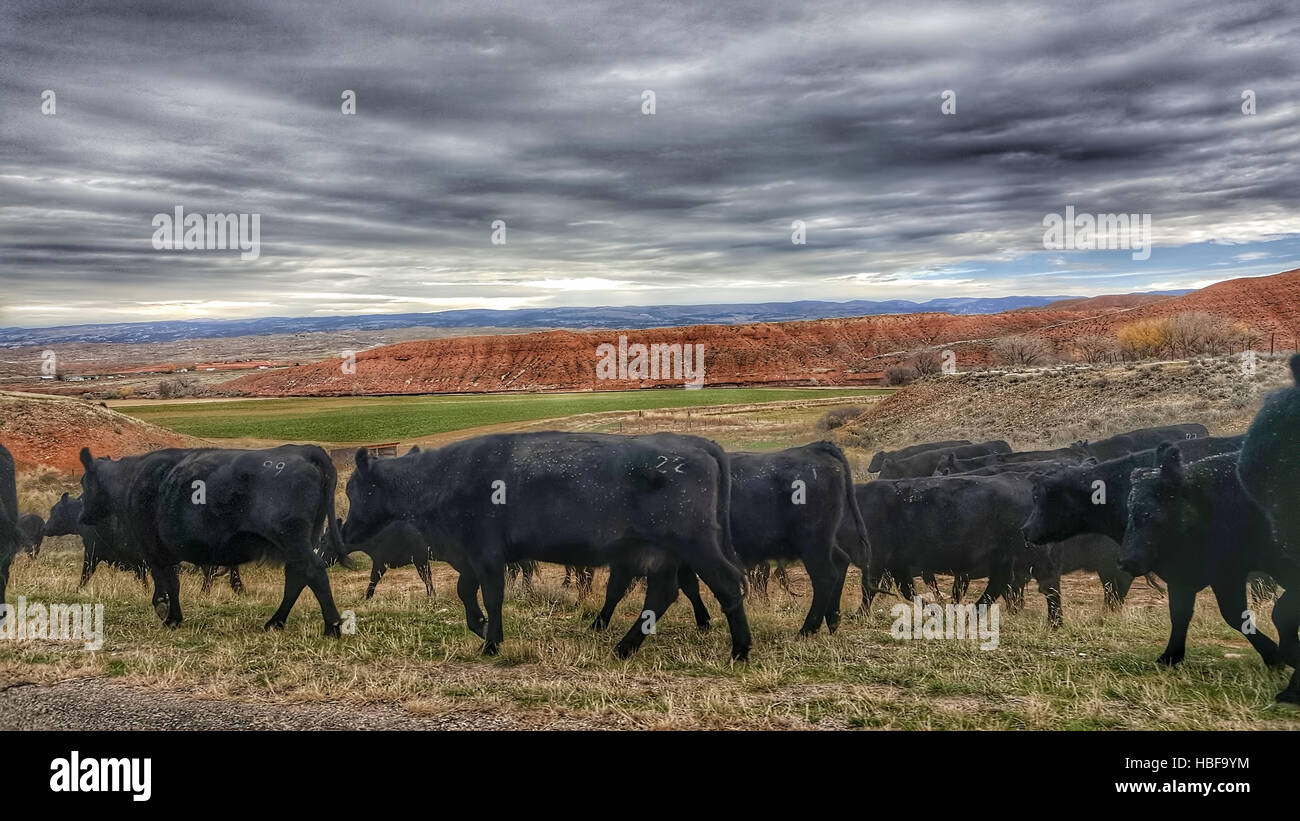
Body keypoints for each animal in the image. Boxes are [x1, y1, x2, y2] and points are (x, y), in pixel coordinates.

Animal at [79, 445, 350, 636]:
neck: (132, 480)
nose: (82, 515)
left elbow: (164, 583)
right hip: (300, 540)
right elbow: (174, 584)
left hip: (291, 538)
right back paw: (276, 622)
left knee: (312, 572)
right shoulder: (168, 552)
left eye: (84, 482)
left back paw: (332, 626)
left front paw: (164, 611)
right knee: (297, 576)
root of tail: (304, 450)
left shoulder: (152, 548)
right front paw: (175, 617)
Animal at [341, 432, 751, 659]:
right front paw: (480, 627)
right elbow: (464, 591)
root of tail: (700, 444)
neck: (445, 477)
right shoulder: (470, 556)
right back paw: (624, 647)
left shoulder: (486, 554)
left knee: (727, 586)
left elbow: (490, 595)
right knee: (662, 595)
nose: (344, 531)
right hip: (658, 554)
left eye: (353, 489)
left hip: (696, 545)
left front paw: (491, 643)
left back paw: (740, 650)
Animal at [590, 441, 872, 638]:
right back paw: (832, 620)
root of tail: (815, 448)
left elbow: (615, 588)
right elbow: (690, 587)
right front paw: (703, 621)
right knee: (841, 563)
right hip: (823, 543)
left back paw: (808, 629)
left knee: (826, 577)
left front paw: (598, 623)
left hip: (813, 544)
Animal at [1118, 446, 1300, 703]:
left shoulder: (1232, 573)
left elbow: (1272, 613)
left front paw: (1282, 656)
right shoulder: (1202, 577)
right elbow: (1187, 615)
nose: (1126, 562)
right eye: (1129, 511)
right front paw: (1170, 656)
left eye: (1147, 513)